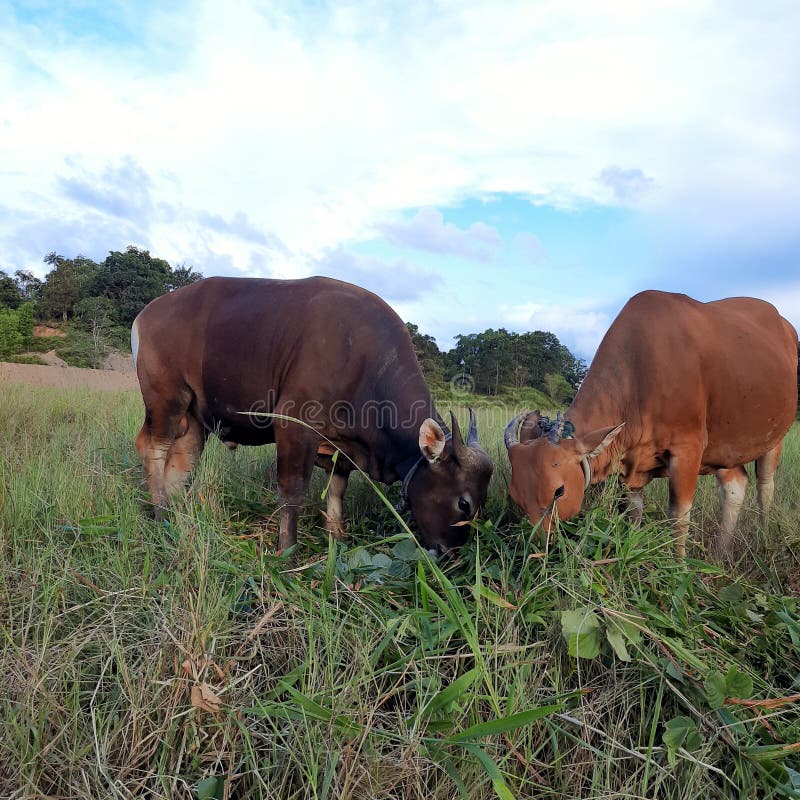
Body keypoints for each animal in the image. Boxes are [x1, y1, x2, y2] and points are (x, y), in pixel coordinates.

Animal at [132, 276, 493, 553]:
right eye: (463, 503)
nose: (451, 553)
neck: (361, 359)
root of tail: (147, 314)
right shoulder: (293, 427)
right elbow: (292, 493)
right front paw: (287, 549)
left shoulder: (342, 450)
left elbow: (335, 494)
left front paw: (335, 540)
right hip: (166, 401)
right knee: (153, 449)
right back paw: (160, 513)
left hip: (194, 419)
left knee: (180, 462)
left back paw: (177, 514)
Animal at [504, 290, 798, 558]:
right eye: (515, 496)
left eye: (559, 491)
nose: (539, 547)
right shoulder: (632, 467)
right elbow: (634, 513)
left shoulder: (687, 451)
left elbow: (678, 519)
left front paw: (679, 567)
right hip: (725, 446)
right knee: (736, 485)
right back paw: (719, 554)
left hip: (773, 438)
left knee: (764, 487)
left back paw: (763, 540)